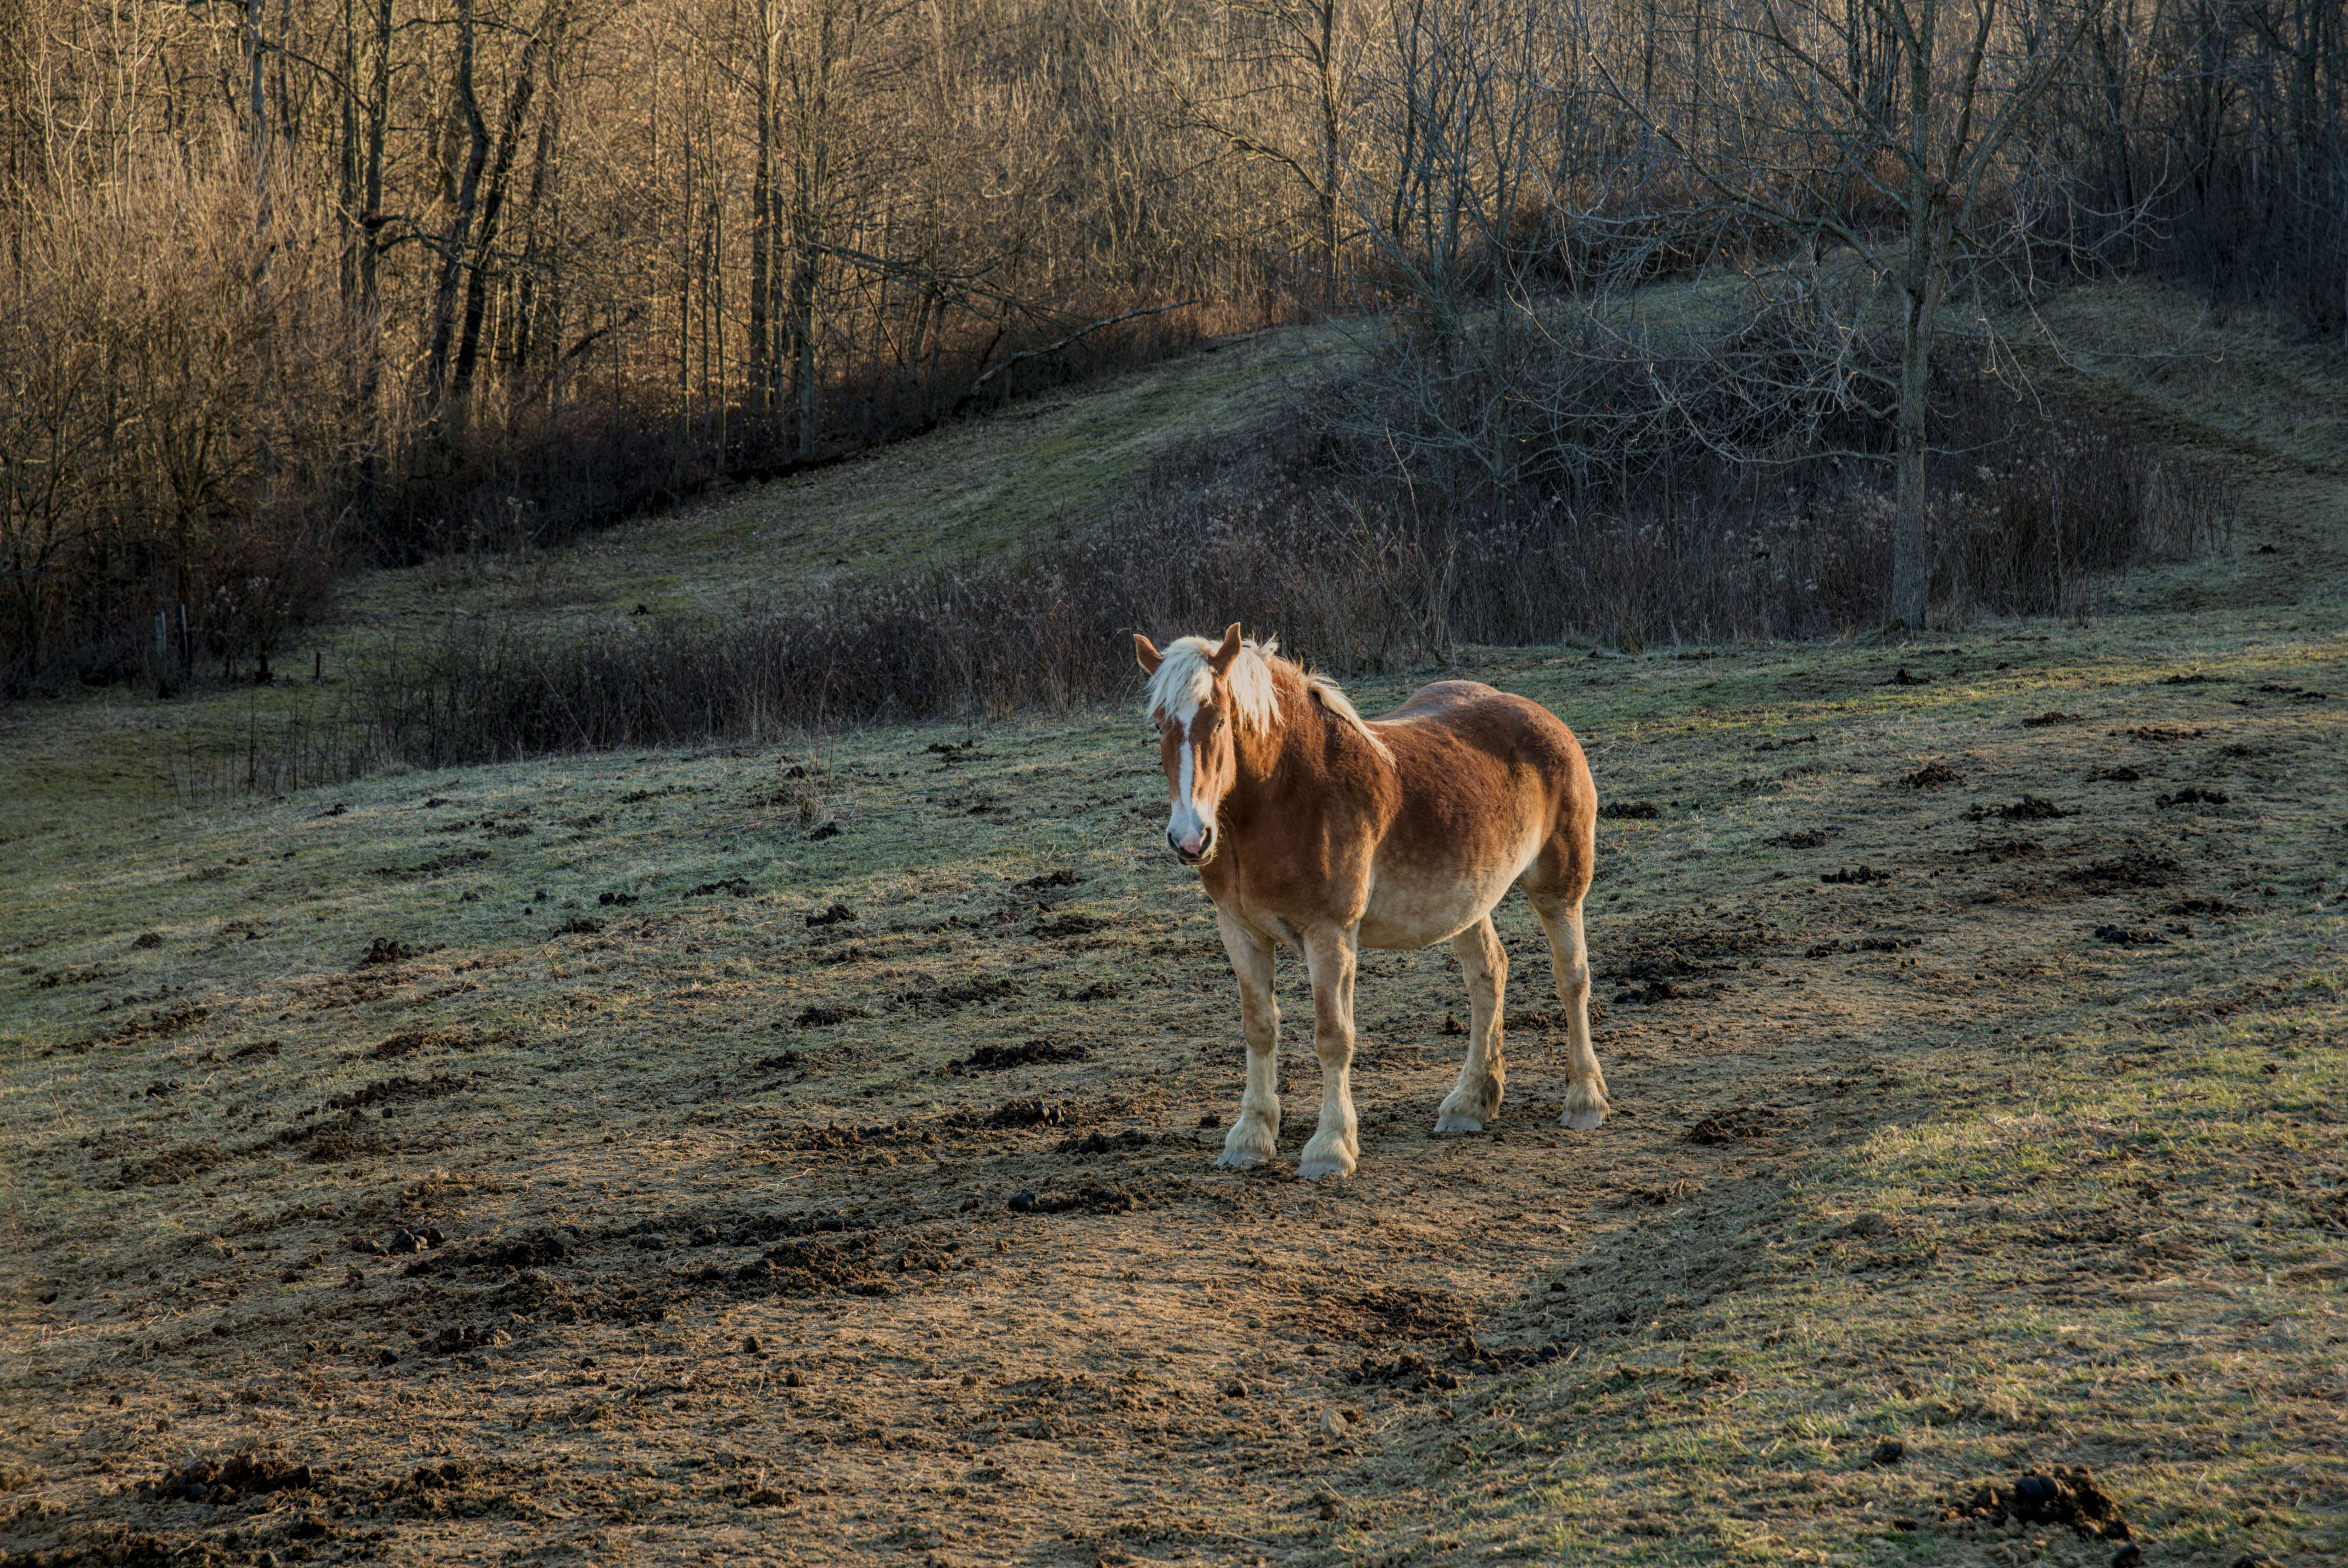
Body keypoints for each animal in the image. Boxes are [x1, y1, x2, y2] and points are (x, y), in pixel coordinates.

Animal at [1132, 622, 1607, 1179]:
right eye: (1160, 726)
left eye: (1221, 720)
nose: (1190, 839)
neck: (1286, 797)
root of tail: (1545, 718)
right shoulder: (1240, 931)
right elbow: (1260, 1029)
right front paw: (1251, 1137)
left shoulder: (1330, 935)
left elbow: (1333, 1036)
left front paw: (1331, 1146)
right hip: (1470, 901)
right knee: (1489, 977)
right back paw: (1471, 1102)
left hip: (1560, 890)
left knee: (1572, 979)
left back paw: (1585, 1100)